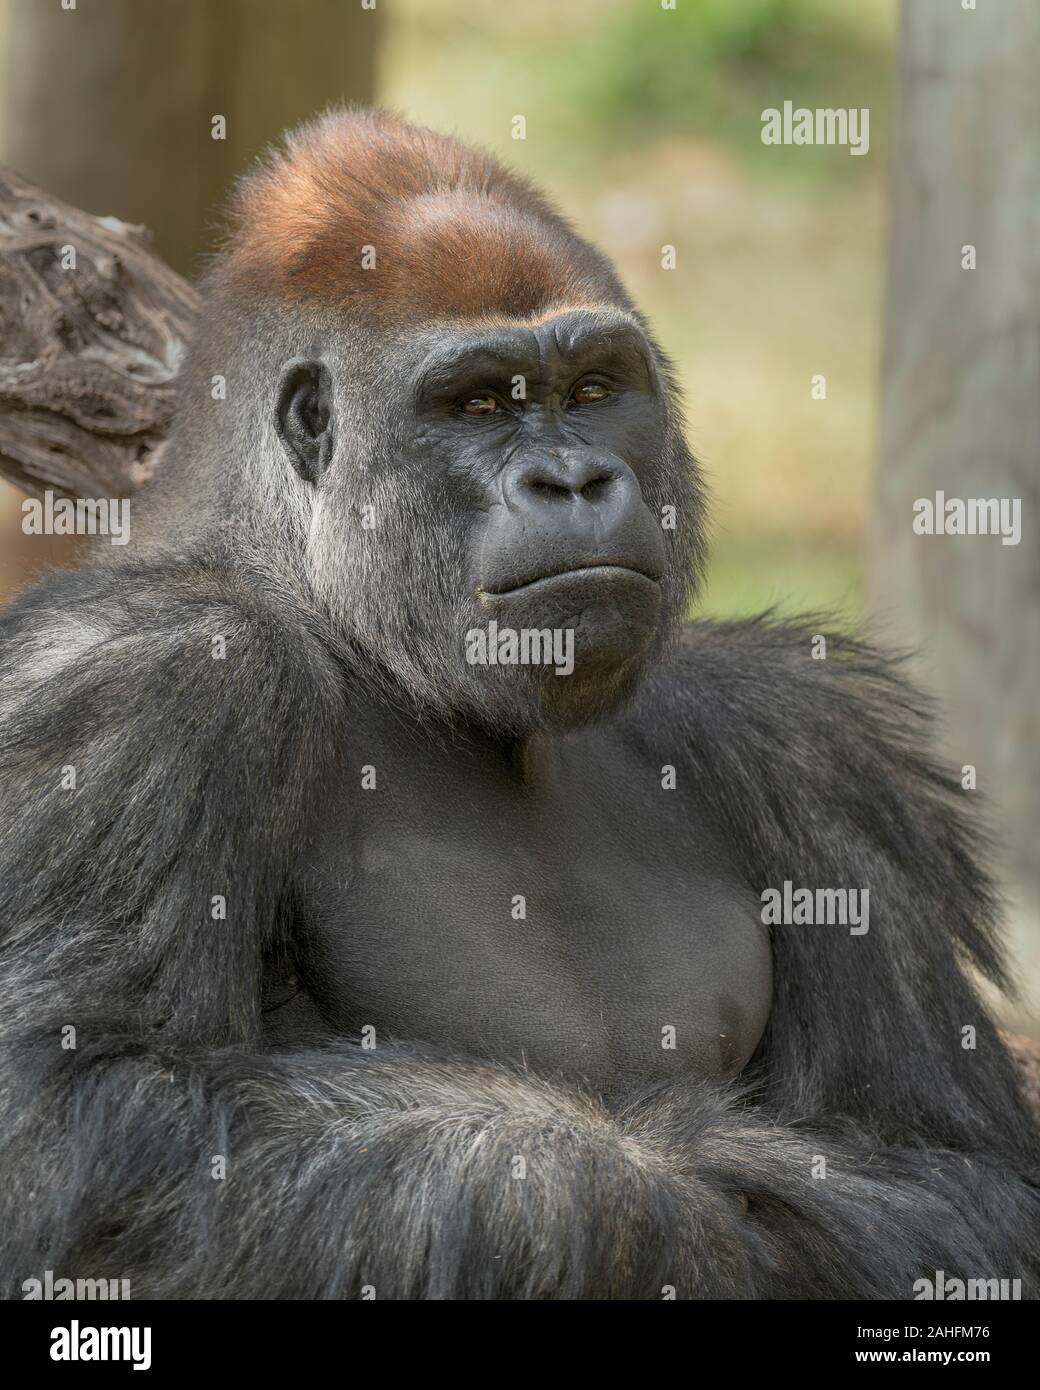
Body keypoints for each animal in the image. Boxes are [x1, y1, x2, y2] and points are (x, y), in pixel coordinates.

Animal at [0, 108, 1037, 1299]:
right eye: (480, 404)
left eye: (592, 390)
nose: (574, 482)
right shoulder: (140, 679)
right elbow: (90, 1117)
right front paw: (690, 1209)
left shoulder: (809, 745)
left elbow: (958, 1164)